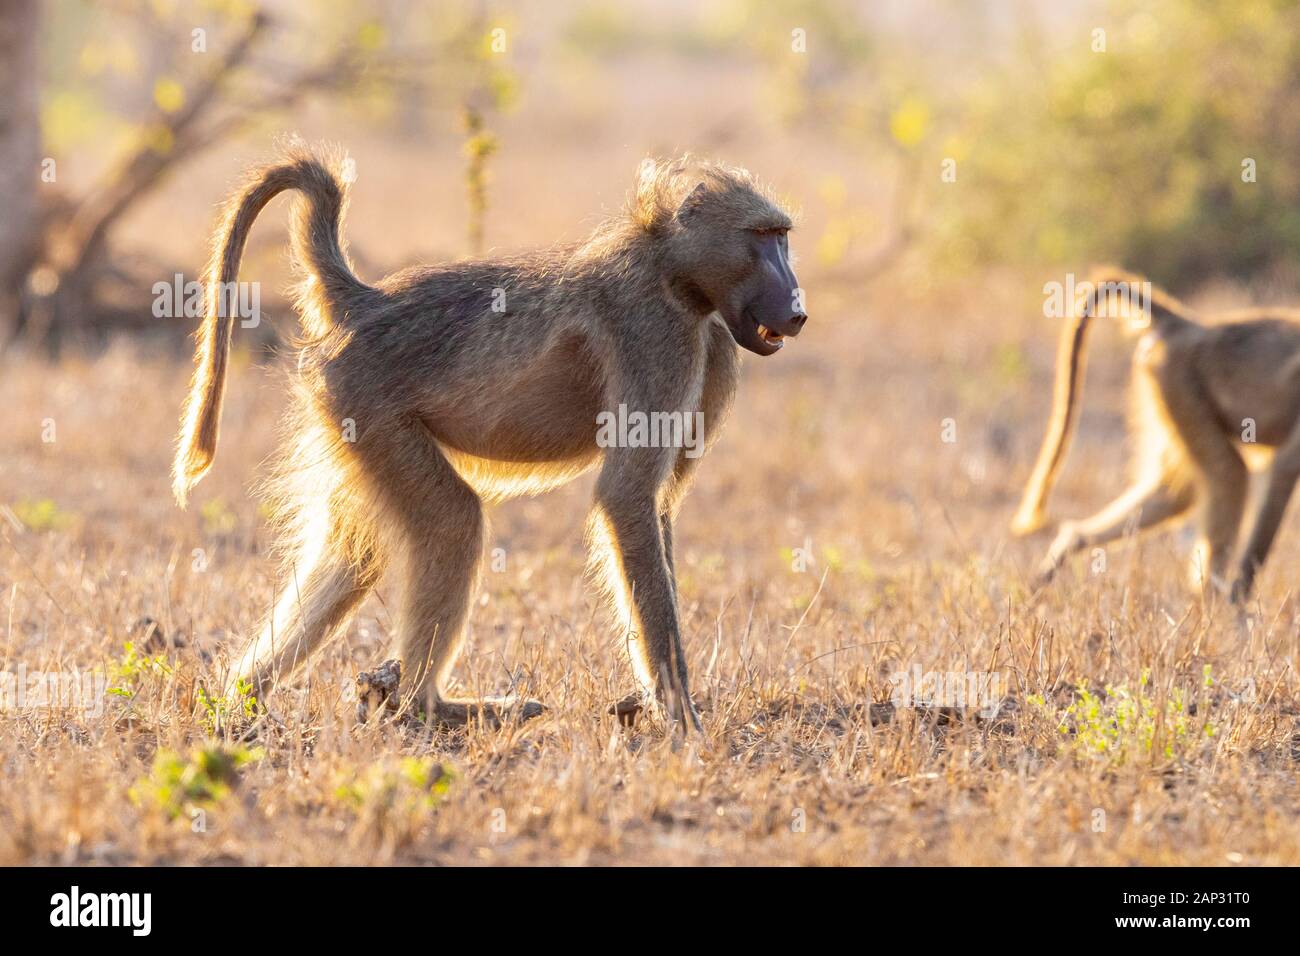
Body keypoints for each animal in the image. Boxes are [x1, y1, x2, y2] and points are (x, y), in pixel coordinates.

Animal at [172, 144, 807, 733]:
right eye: (762, 236)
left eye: (783, 237)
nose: (797, 310)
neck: (671, 269)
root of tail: (362, 300)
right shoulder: (658, 335)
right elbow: (627, 498)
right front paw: (682, 722)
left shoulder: (712, 345)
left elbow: (658, 508)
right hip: (368, 403)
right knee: (452, 521)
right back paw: (429, 707)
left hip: (350, 419)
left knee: (355, 556)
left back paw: (243, 697)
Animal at [1010, 266, 1300, 602]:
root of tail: (1188, 324)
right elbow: (1284, 466)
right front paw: (1239, 599)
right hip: (1177, 379)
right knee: (1229, 474)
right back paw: (1213, 602)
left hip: (1167, 388)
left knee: (1176, 494)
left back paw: (1067, 547)